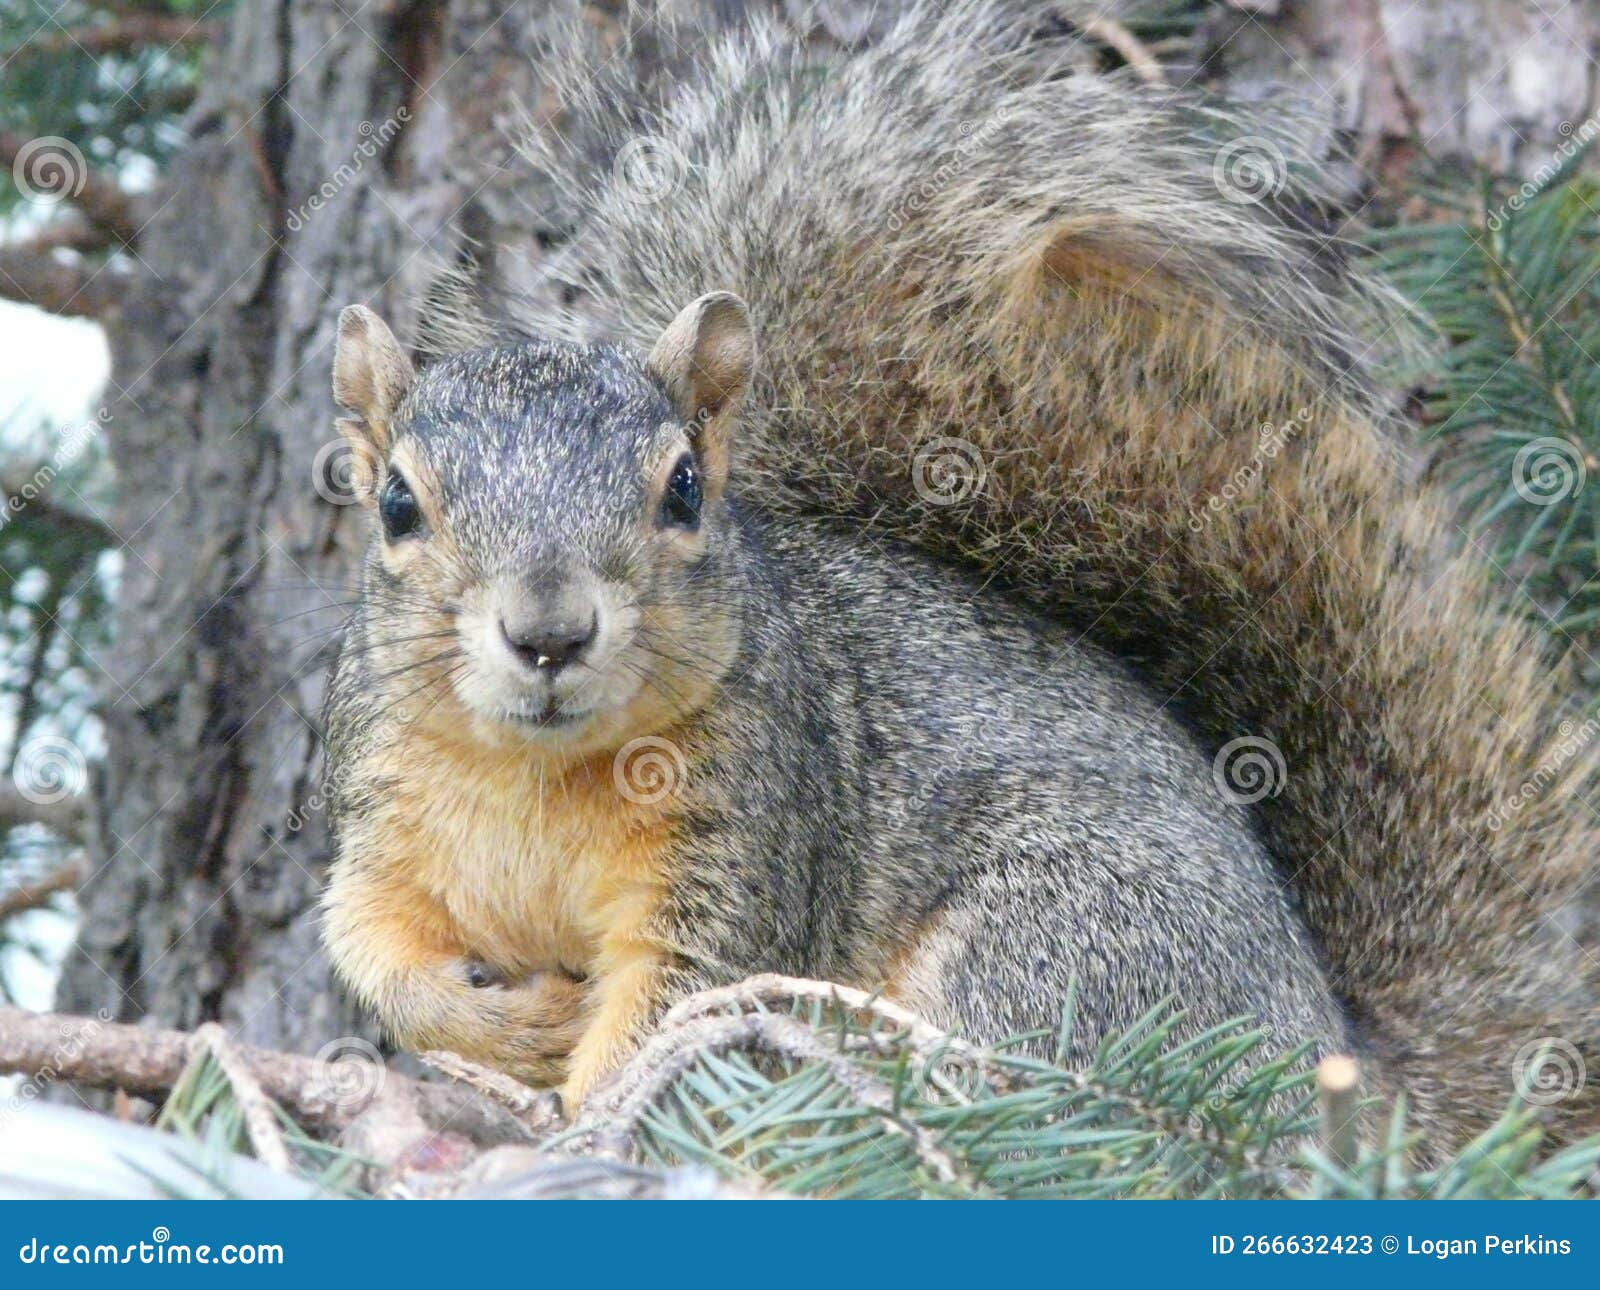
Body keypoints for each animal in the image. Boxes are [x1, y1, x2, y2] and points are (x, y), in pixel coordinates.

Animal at [323, 0, 1597, 1142]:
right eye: (397, 504)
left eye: (682, 489)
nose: (549, 634)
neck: (536, 777)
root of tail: (1332, 1063)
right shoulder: (383, 808)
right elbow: (368, 941)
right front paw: (496, 1026)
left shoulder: (750, 830)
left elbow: (679, 1005)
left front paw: (592, 1124)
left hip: (1060, 937)